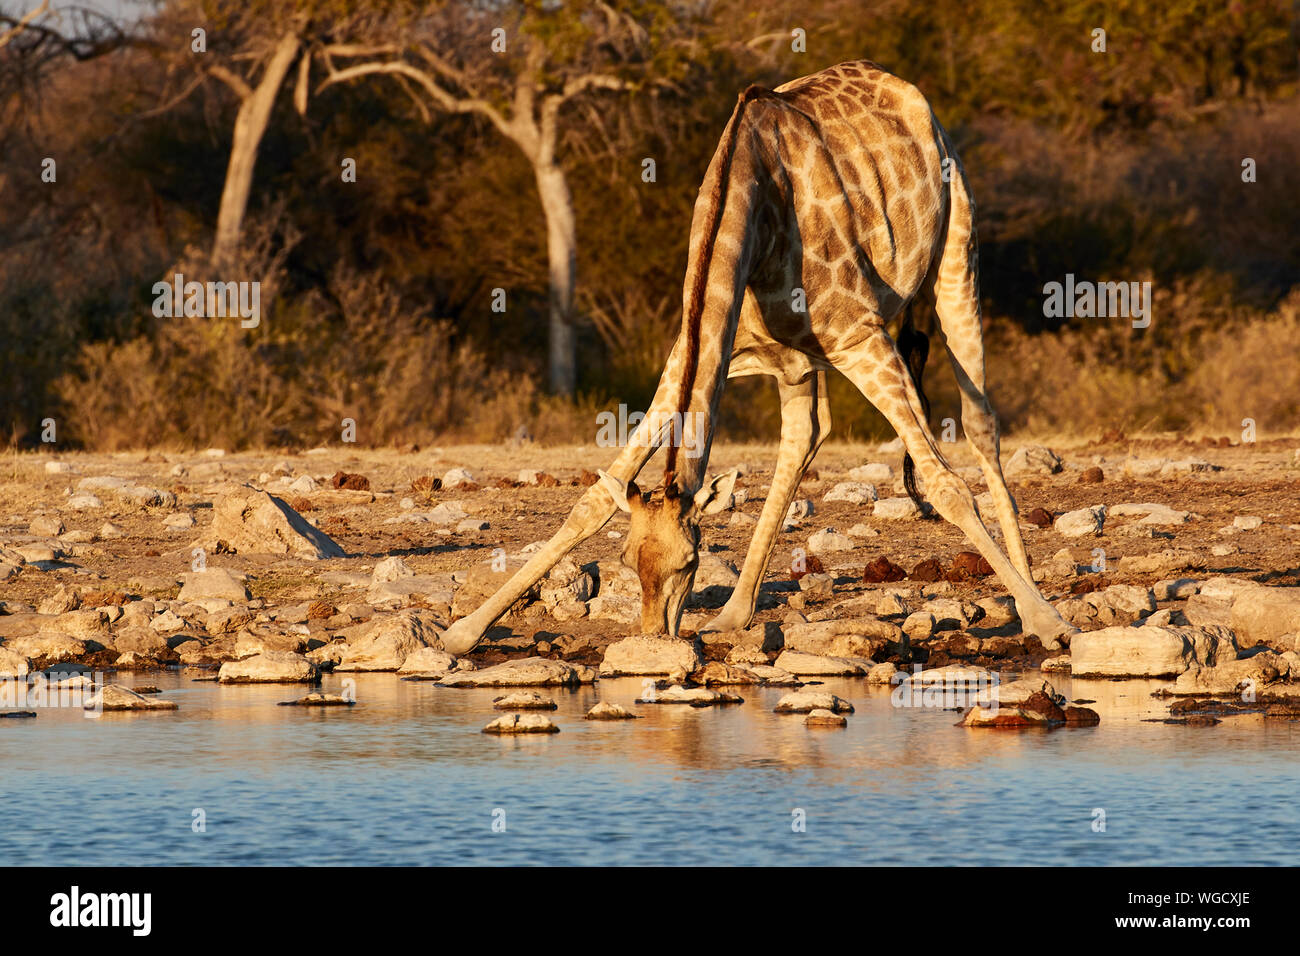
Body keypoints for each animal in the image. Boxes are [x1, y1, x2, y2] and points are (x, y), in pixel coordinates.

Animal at [439, 60, 1076, 655]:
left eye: (689, 564)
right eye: (627, 561)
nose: (654, 638)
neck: (750, 210)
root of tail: (905, 89)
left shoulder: (860, 338)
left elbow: (947, 486)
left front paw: (1050, 621)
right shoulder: (703, 352)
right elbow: (594, 499)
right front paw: (463, 631)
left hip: (955, 253)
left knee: (979, 420)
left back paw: (1031, 600)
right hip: (800, 362)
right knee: (805, 435)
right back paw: (732, 614)